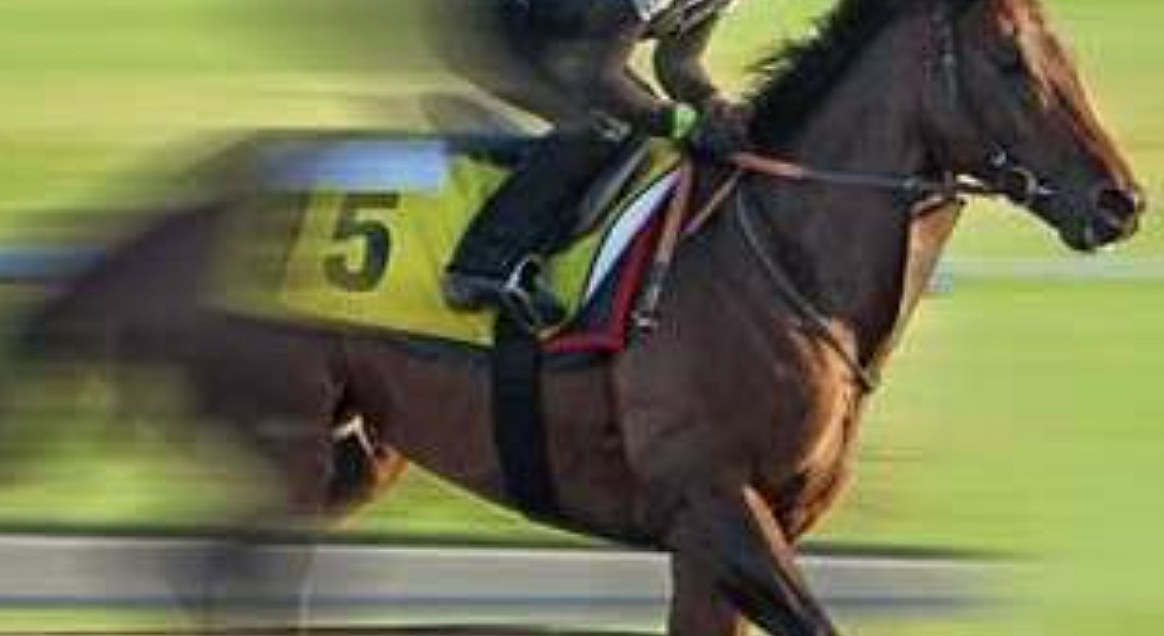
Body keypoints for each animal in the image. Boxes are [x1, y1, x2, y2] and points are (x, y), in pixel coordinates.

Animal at [1, 0, 1145, 633]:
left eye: (1063, 49)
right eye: (1009, 58)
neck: (784, 256)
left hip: (349, 453)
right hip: (271, 439)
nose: (1120, 200)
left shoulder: (719, 536)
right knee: (223, 579)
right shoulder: (716, 503)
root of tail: (170, 216)